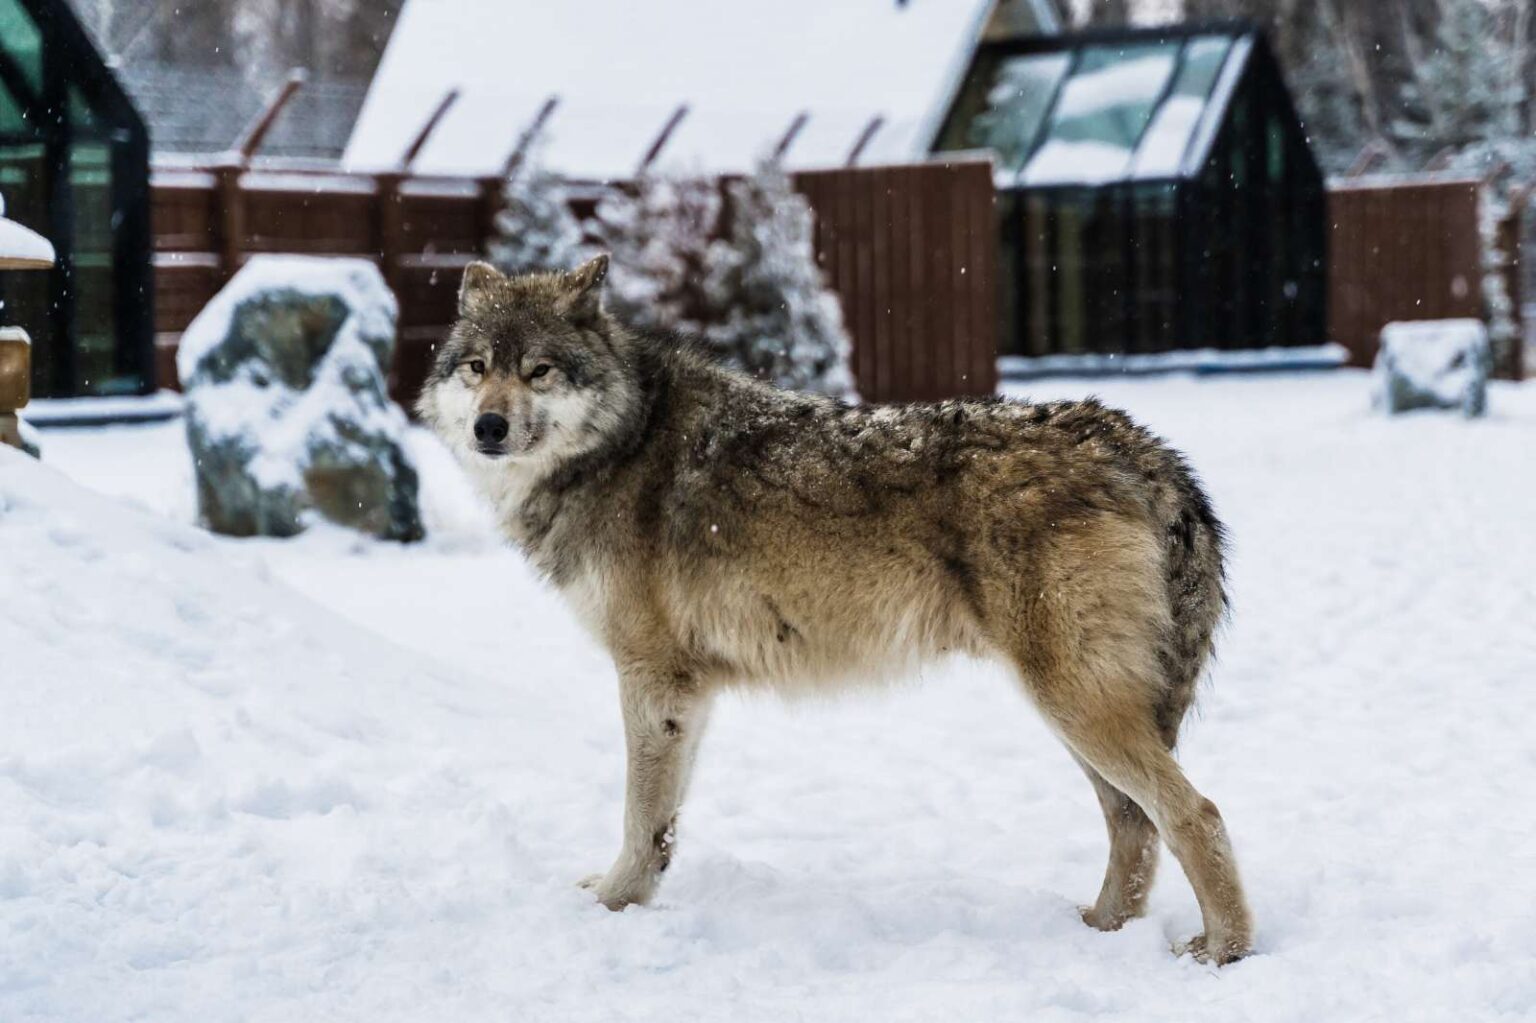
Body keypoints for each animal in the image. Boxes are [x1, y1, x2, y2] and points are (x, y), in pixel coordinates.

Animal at [418, 255, 1253, 964]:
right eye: (477, 367)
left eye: (540, 370)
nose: (489, 426)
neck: (622, 442)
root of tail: (1146, 451)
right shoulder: (688, 692)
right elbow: (664, 822)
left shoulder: (651, 676)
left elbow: (638, 813)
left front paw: (616, 905)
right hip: (1079, 709)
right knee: (1134, 823)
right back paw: (1102, 929)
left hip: (1075, 701)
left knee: (1197, 812)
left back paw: (1222, 951)